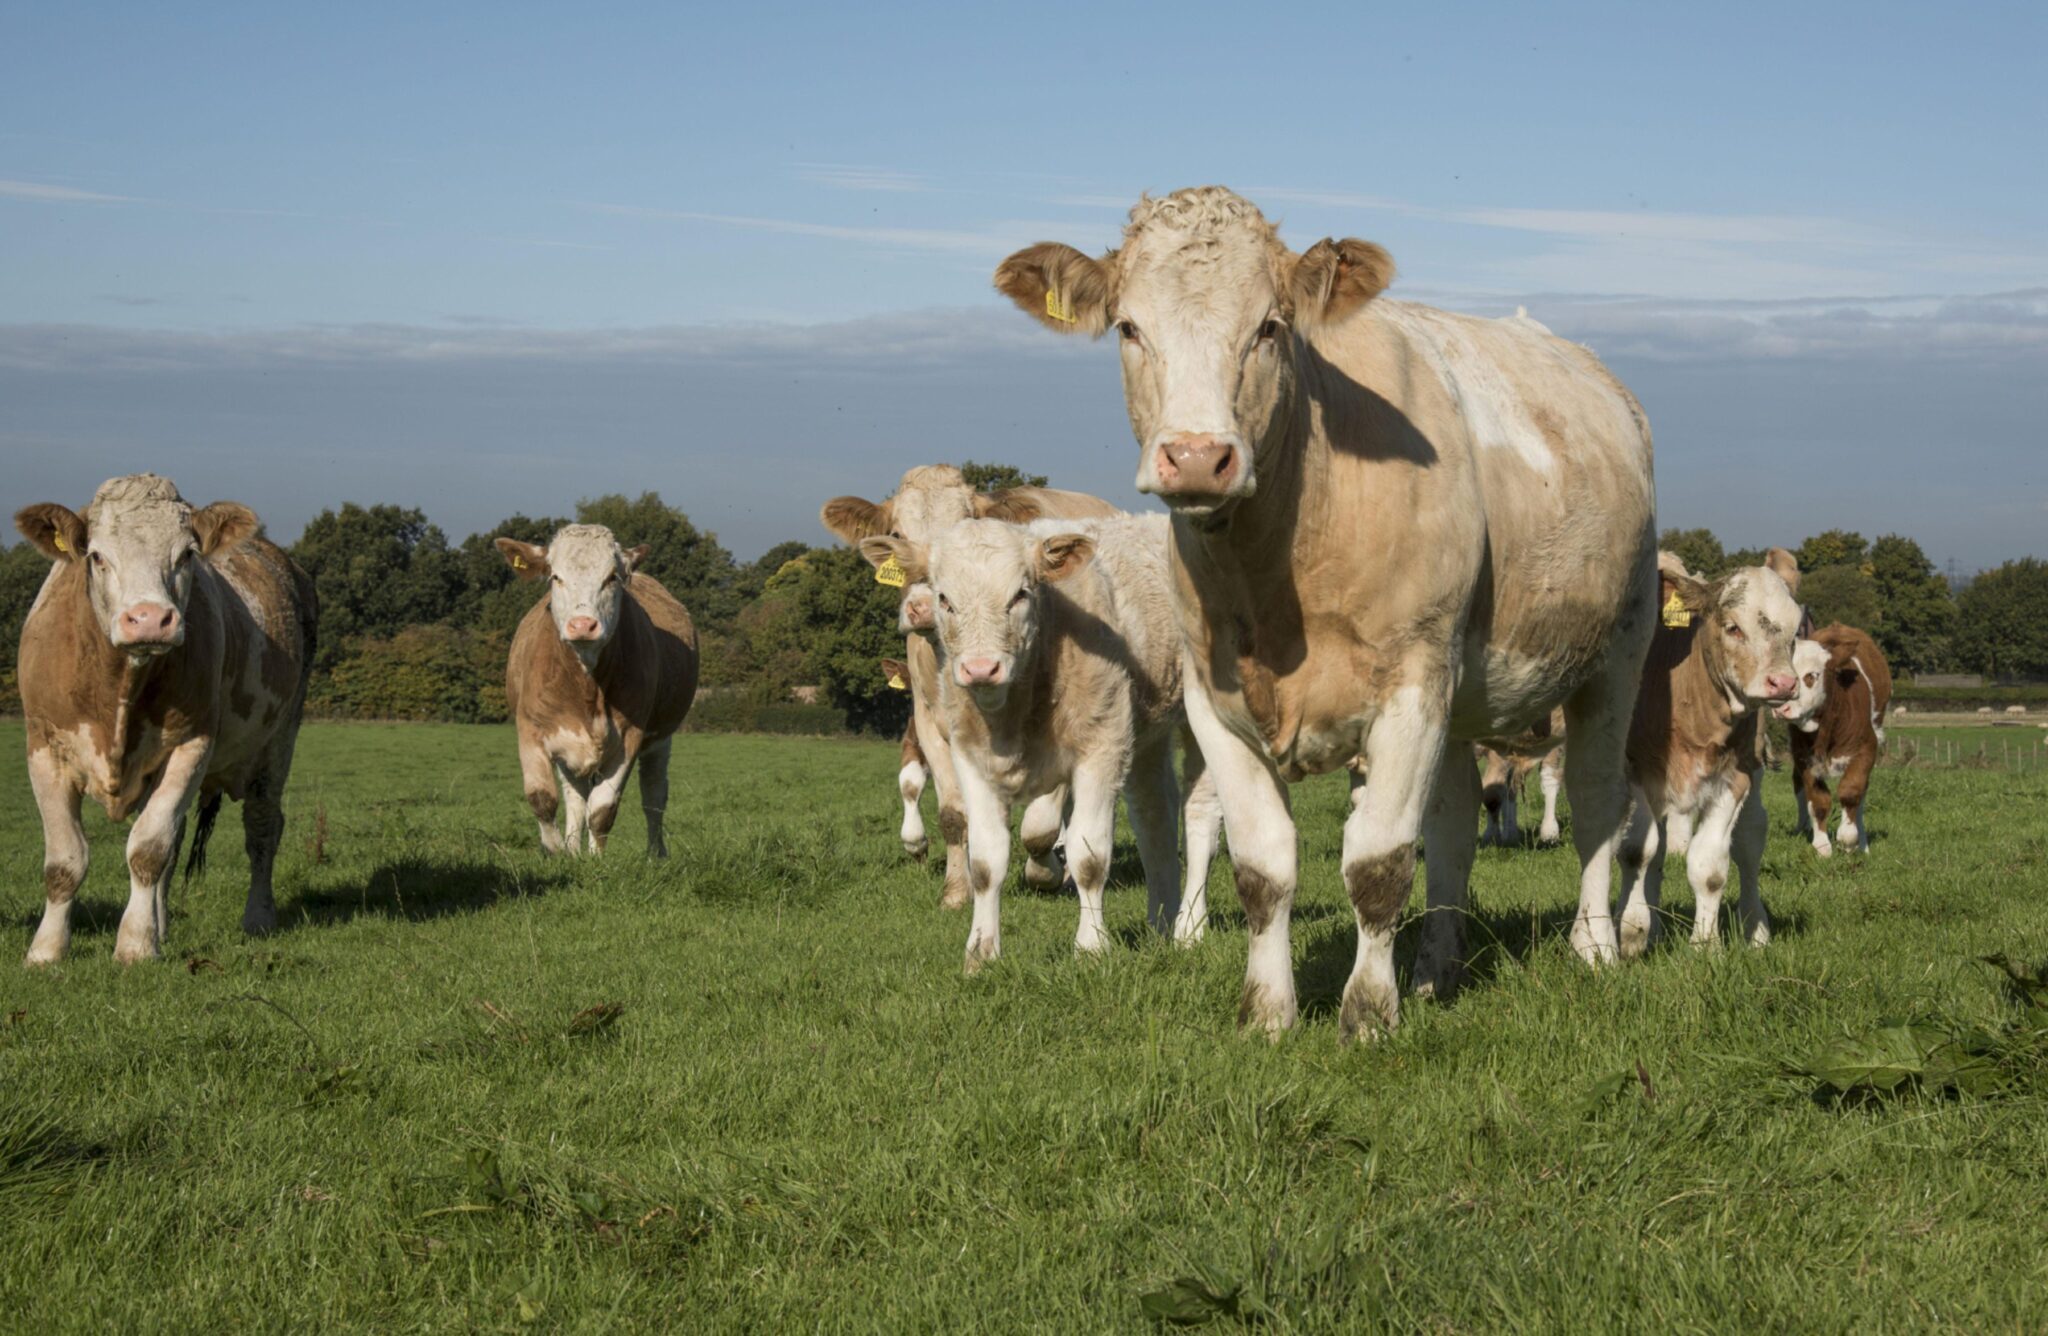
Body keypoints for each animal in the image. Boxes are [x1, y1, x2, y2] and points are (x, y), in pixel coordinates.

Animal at [14, 474, 316, 964]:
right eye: (96, 556)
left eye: (187, 554)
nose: (149, 619)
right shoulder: (44, 747)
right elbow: (64, 861)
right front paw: (46, 951)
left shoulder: (190, 745)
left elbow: (149, 849)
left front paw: (136, 944)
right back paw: (164, 924)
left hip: (279, 739)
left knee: (262, 826)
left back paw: (258, 917)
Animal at [496, 524, 699, 857]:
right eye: (555, 577)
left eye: (612, 577)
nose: (582, 625)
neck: (585, 687)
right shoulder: (530, 730)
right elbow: (543, 799)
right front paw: (558, 852)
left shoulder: (630, 737)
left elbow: (603, 810)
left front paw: (597, 860)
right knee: (576, 796)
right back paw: (572, 849)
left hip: (661, 738)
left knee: (654, 795)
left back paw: (655, 854)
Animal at [994, 187, 1657, 1038]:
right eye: (1129, 328)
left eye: (1270, 327)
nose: (1198, 456)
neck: (1276, 575)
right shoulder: (1218, 701)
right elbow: (1263, 869)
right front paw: (1268, 1013)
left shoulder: (1411, 683)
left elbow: (1377, 863)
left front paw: (1368, 1015)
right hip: (1461, 690)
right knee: (1450, 824)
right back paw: (1437, 969)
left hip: (1618, 650)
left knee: (1598, 799)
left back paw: (1595, 946)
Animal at [1614, 550, 1805, 957]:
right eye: (1733, 628)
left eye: (1795, 631)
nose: (1784, 683)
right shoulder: (1635, 769)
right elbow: (1638, 851)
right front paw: (1632, 932)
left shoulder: (1734, 778)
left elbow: (1710, 866)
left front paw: (1705, 945)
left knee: (1749, 839)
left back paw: (1756, 930)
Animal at [1785, 624, 1892, 856]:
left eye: (1812, 675)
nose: (1783, 707)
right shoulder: (1804, 757)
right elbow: (1818, 800)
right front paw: (1822, 846)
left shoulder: (1866, 749)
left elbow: (1851, 792)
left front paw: (1849, 839)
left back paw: (1862, 844)